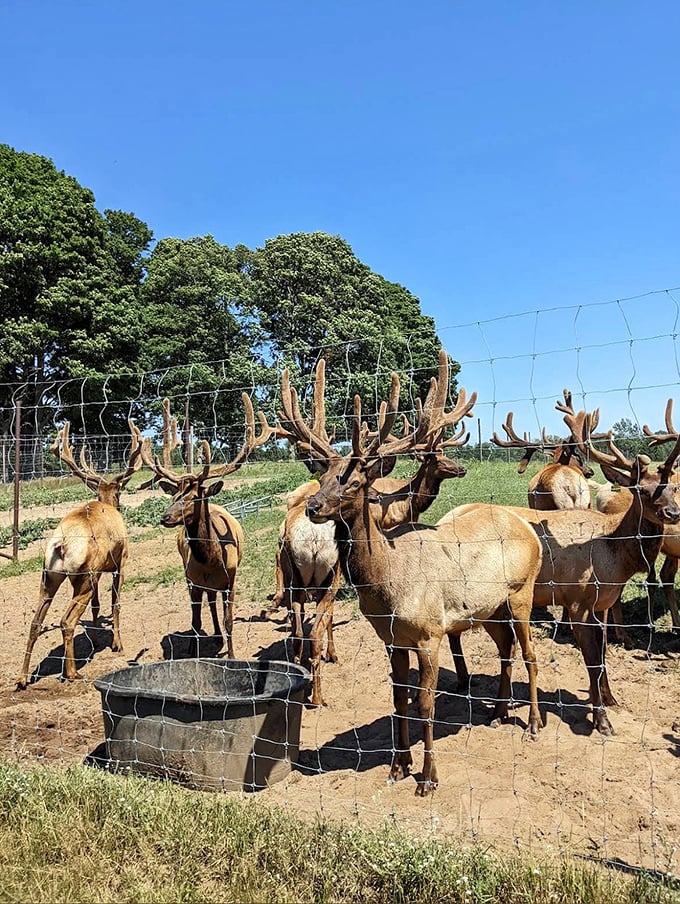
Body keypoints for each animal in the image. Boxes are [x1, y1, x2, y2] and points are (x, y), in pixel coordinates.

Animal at [16, 421, 146, 689]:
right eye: (120, 493)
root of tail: (61, 544)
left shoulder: (99, 570)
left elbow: (97, 606)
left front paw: (95, 638)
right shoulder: (121, 561)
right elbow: (115, 603)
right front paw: (117, 644)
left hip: (49, 576)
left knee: (35, 622)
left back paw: (22, 678)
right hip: (83, 577)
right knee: (66, 621)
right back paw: (72, 672)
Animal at [142, 395, 275, 658]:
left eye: (195, 497)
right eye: (175, 496)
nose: (165, 517)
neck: (210, 561)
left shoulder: (231, 580)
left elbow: (229, 621)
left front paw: (232, 655)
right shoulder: (193, 581)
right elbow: (195, 622)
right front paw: (193, 653)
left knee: (213, 603)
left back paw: (218, 636)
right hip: (191, 580)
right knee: (206, 606)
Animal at [284, 351, 544, 796]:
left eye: (355, 481)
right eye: (322, 476)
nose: (313, 507)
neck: (389, 586)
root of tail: (528, 527)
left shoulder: (429, 633)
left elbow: (424, 704)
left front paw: (429, 777)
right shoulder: (392, 638)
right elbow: (397, 700)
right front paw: (398, 765)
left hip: (521, 592)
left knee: (530, 653)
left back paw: (533, 725)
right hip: (490, 609)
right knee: (505, 648)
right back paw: (497, 711)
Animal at [453, 407, 680, 736]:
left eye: (673, 487)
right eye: (641, 489)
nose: (673, 513)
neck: (614, 557)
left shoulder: (601, 605)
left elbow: (602, 655)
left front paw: (611, 699)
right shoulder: (577, 602)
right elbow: (591, 660)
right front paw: (601, 720)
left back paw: (496, 708)